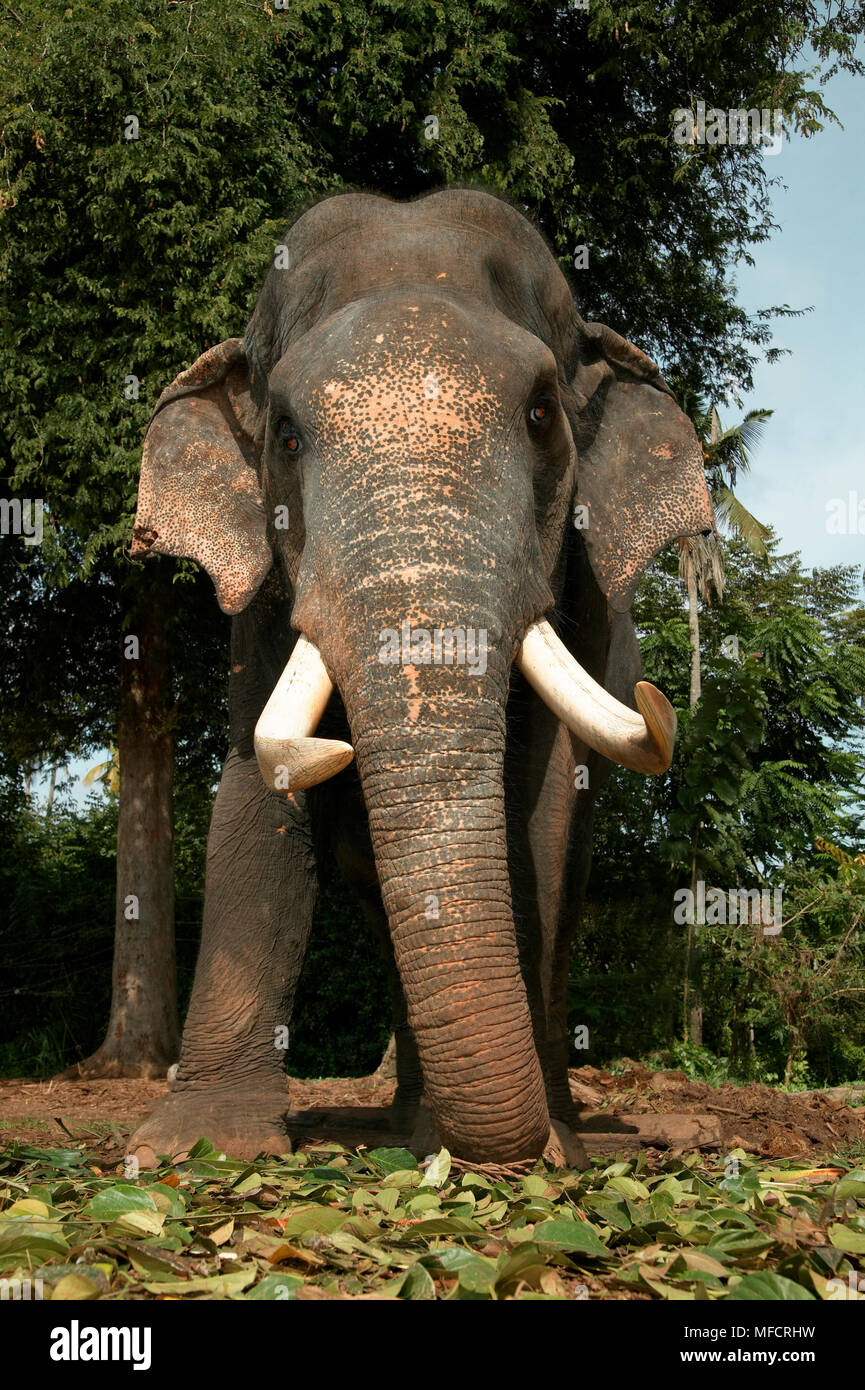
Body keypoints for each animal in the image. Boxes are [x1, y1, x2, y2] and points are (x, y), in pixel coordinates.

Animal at [127, 188, 713, 1168]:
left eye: (542, 414)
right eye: (285, 433)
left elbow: (540, 802)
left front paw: (539, 1149)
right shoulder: (262, 593)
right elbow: (254, 791)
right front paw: (196, 1147)